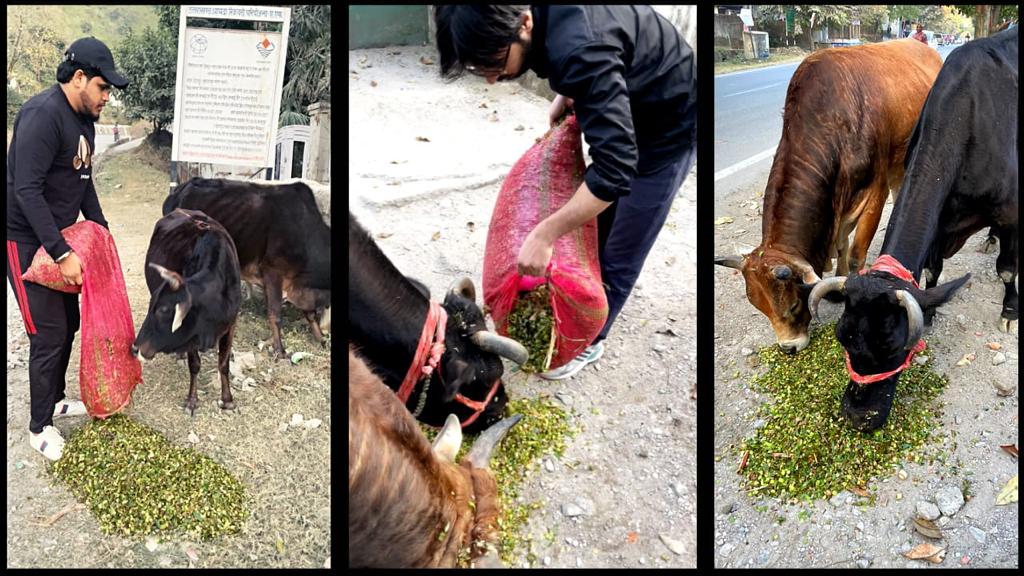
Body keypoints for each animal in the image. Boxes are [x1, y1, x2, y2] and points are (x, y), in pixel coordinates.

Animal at [132, 209, 242, 415]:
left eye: (164, 309)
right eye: (151, 306)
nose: (135, 348)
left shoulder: (230, 325)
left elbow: (223, 364)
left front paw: (227, 399)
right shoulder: (191, 336)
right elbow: (195, 365)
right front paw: (192, 400)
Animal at [163, 178, 330, 360]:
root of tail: (181, 188)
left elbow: (310, 313)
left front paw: (321, 338)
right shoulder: (273, 271)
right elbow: (275, 314)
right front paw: (280, 350)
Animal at [715, 39, 942, 353]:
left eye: (794, 305)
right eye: (759, 308)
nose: (788, 347)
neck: (833, 120)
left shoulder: (874, 194)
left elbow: (857, 254)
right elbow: (842, 245)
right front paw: (837, 285)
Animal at [809, 27, 1018, 432]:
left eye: (892, 344)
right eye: (842, 336)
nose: (858, 416)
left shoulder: (1012, 213)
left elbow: (1008, 269)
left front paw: (1010, 313)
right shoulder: (942, 219)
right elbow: (932, 269)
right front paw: (933, 309)